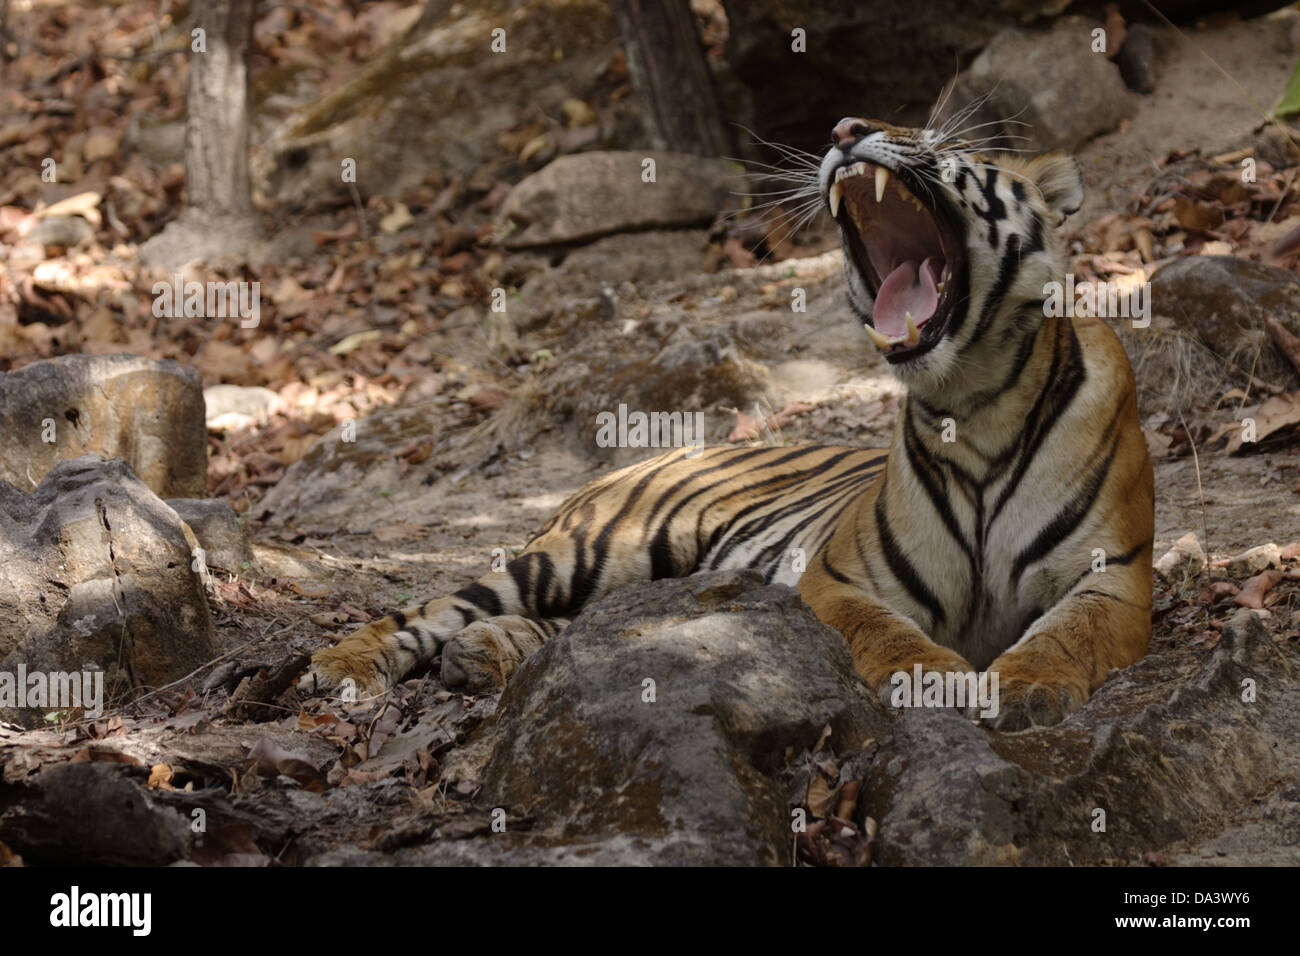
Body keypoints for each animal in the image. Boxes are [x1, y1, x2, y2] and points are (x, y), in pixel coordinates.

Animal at [299, 116, 1154, 732]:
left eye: (940, 142)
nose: (846, 129)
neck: (971, 404)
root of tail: (621, 466)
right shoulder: (840, 578)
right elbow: (889, 636)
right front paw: (940, 679)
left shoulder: (1113, 577)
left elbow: (1069, 632)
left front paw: (1027, 685)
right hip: (591, 551)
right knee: (431, 607)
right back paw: (344, 664)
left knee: (571, 624)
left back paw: (481, 656)